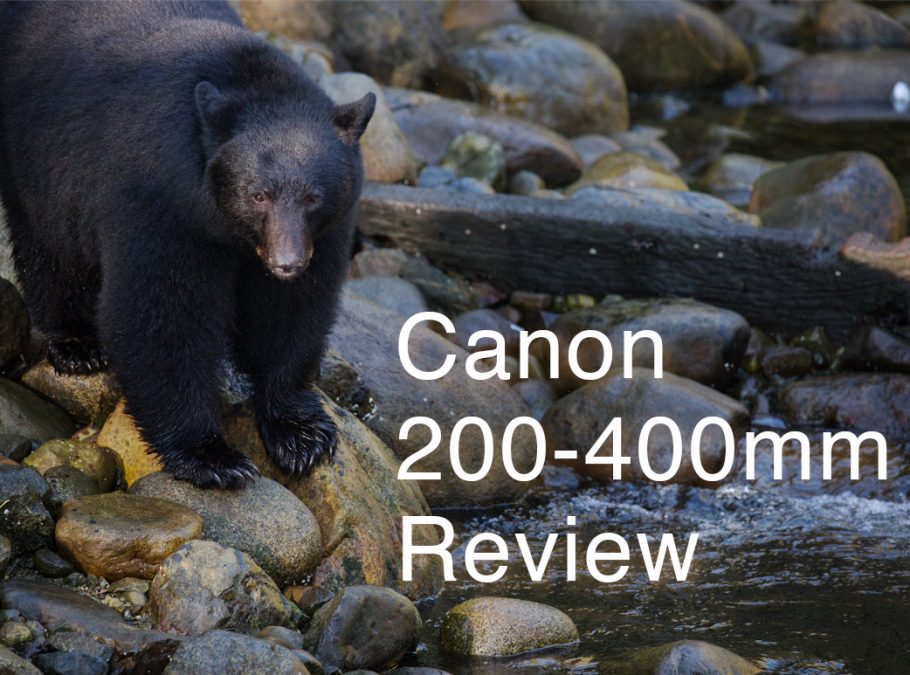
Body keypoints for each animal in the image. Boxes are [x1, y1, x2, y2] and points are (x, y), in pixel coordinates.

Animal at [0, 1, 375, 488]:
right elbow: (162, 315)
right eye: (258, 194)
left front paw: (300, 433)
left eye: (313, 197)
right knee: (50, 247)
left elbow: (289, 313)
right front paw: (211, 456)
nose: (288, 262)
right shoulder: (159, 202)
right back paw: (77, 343)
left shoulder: (325, 232)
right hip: (37, 156)